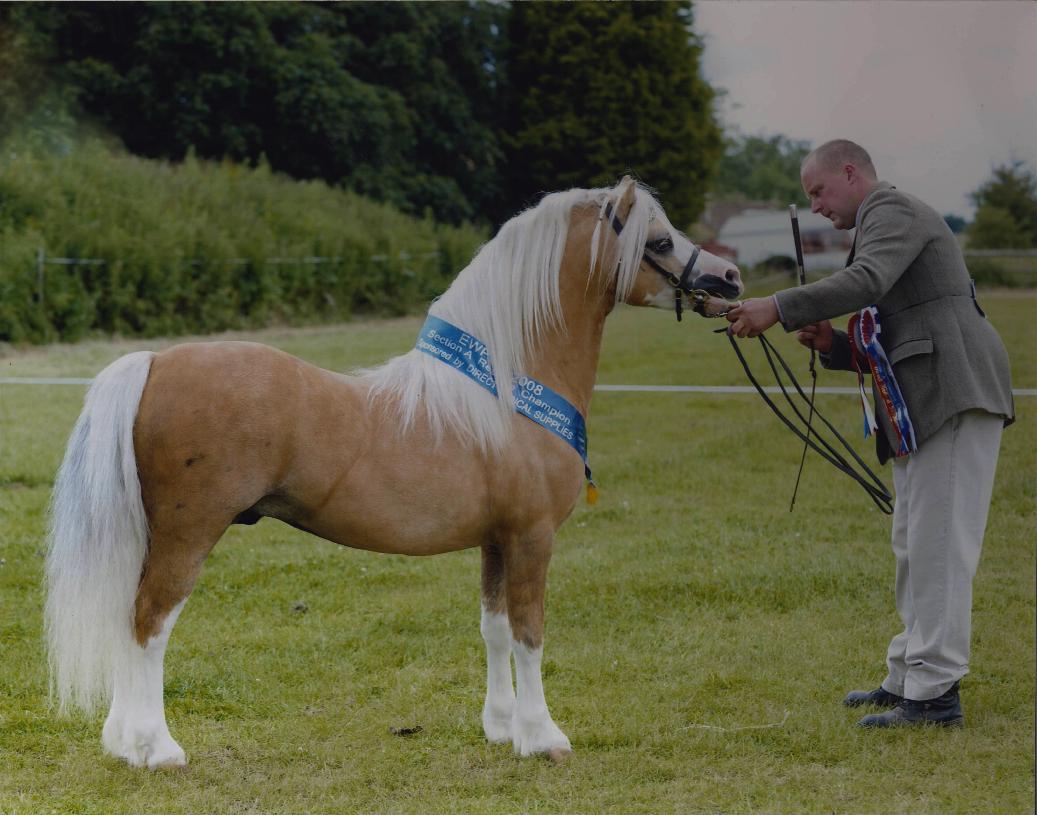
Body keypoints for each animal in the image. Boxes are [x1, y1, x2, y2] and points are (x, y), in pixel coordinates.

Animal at [44, 176, 742, 768]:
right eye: (659, 240)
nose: (729, 278)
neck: (507, 391)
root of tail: (156, 362)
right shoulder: (533, 536)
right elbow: (530, 633)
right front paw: (543, 737)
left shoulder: (497, 539)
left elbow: (494, 629)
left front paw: (502, 727)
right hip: (189, 534)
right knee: (149, 622)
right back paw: (155, 748)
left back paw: (122, 743)